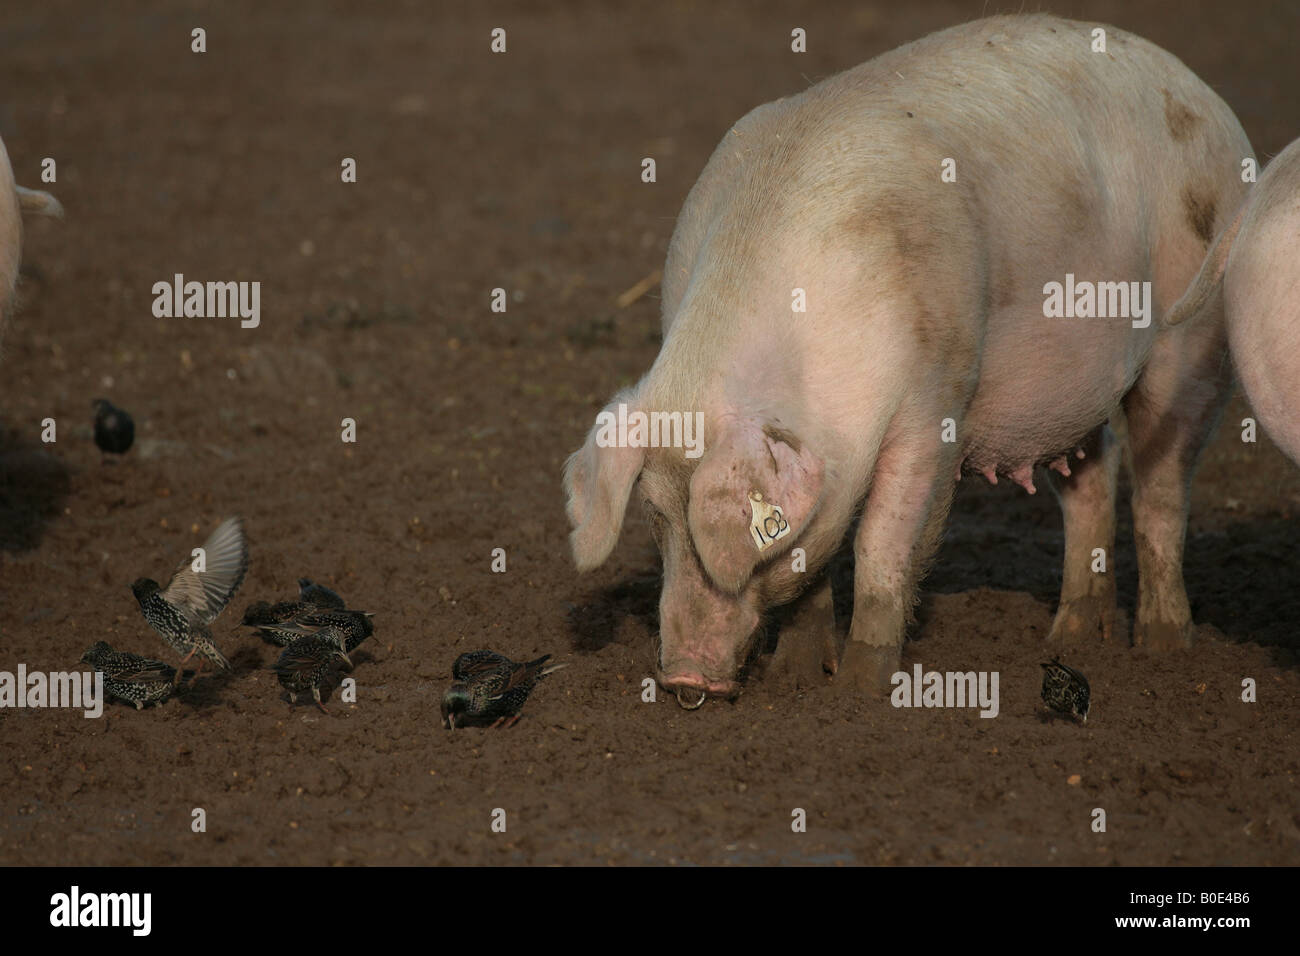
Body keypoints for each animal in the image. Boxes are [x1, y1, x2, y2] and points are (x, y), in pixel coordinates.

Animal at [564, 14, 1252, 704]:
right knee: (1095, 475)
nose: (683, 676)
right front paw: (796, 677)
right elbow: (815, 561)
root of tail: (1207, 97)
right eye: (655, 515)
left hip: (1193, 337)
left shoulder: (935, 399)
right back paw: (1071, 640)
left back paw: (1163, 649)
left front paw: (861, 692)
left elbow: (883, 544)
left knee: (1160, 489)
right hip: (1073, 392)